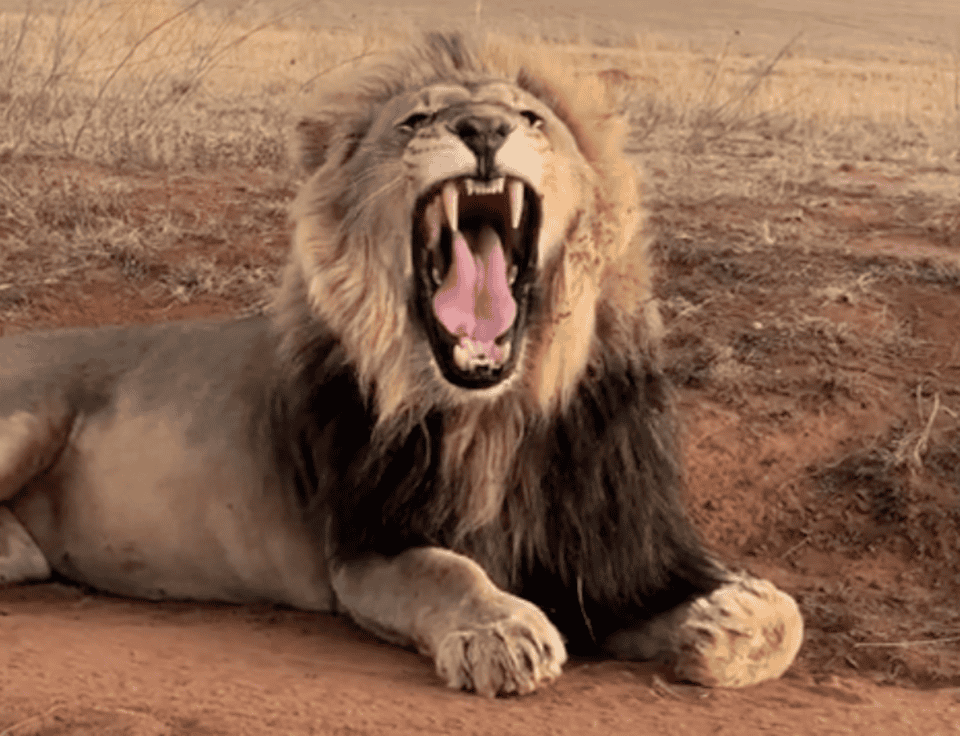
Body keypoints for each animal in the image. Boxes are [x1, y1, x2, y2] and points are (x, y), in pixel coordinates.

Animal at [0, 33, 802, 696]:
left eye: (530, 117)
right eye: (417, 121)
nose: (484, 129)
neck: (494, 414)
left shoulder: (611, 555)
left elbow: (787, 617)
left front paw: (726, 619)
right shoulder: (368, 547)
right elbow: (448, 569)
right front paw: (501, 631)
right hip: (25, 419)